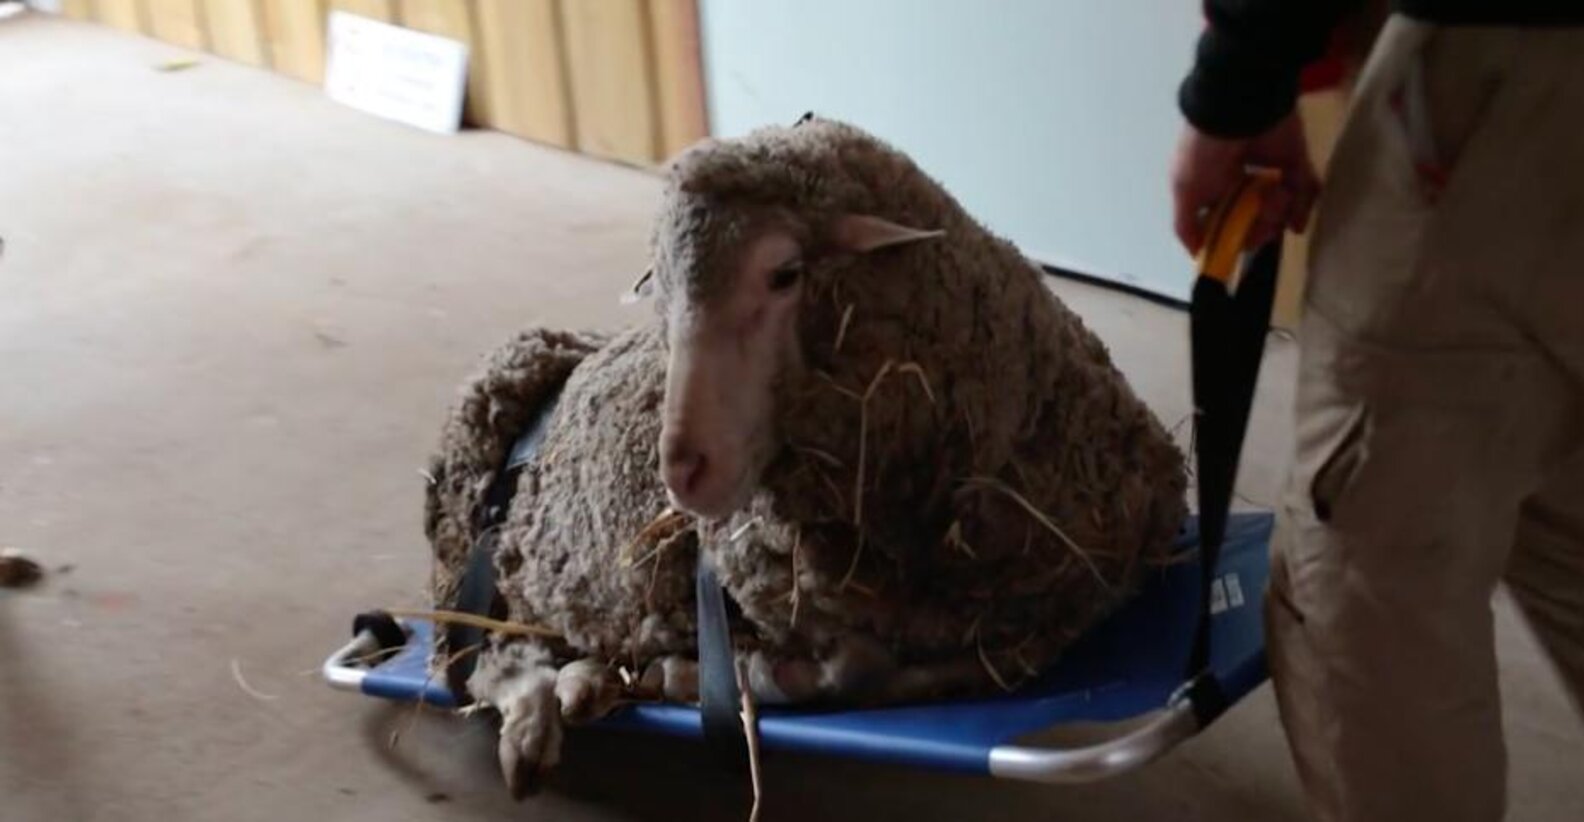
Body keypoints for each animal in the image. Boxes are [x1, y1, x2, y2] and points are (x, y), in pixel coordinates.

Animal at [423, 116, 1187, 798]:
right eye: (661, 300)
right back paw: (538, 719)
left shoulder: (1067, 606)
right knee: (477, 662)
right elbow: (850, 668)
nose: (681, 473)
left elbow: (953, 664)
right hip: (472, 567)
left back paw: (584, 681)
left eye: (784, 274)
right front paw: (703, 676)